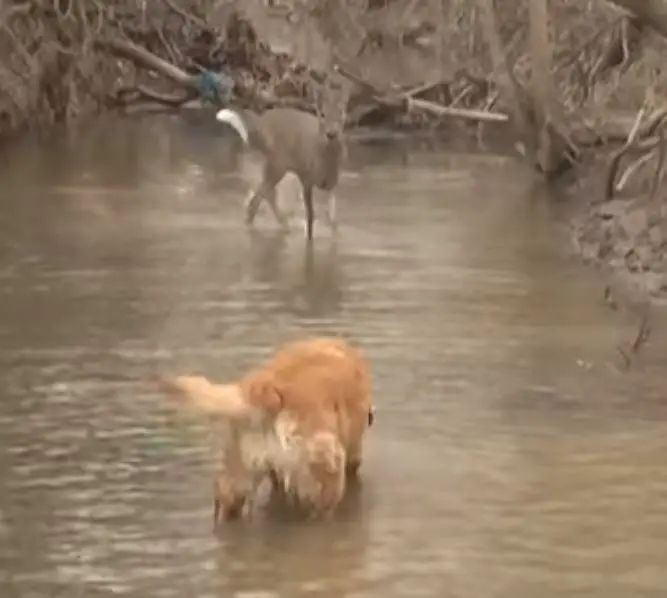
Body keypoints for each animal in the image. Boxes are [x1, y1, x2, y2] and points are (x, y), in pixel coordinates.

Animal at [215, 83, 348, 241]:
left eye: (341, 114)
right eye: (322, 114)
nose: (331, 134)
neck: (326, 160)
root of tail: (258, 126)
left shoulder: (332, 183)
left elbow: (332, 217)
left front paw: (336, 236)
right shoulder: (306, 178)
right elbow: (310, 214)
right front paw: (309, 239)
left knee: (260, 194)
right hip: (276, 163)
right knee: (262, 196)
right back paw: (275, 225)